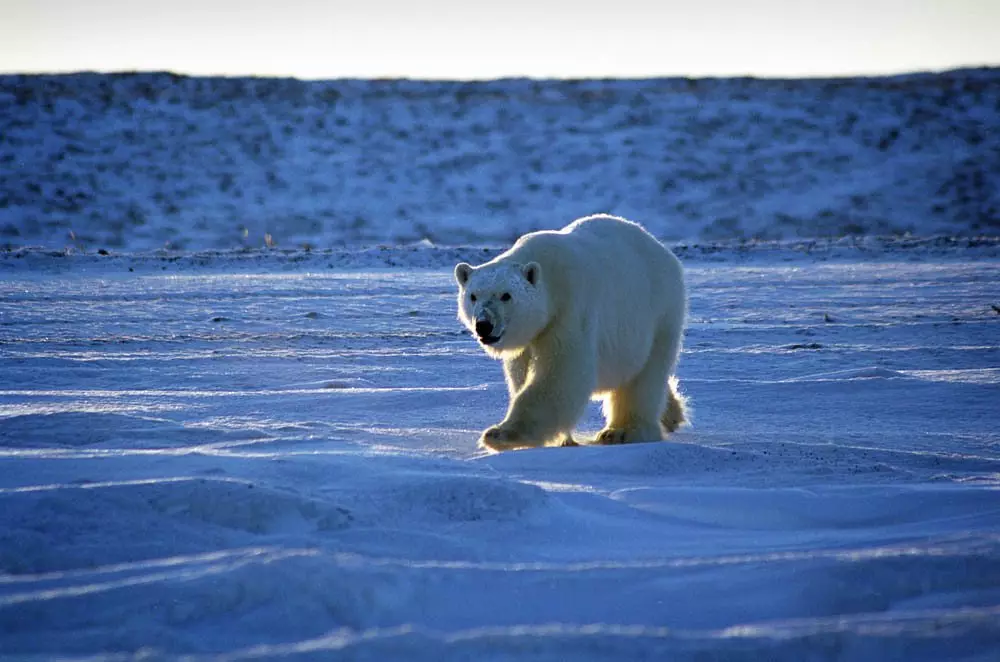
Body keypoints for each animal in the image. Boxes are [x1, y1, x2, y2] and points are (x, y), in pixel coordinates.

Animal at [456, 215, 684, 454]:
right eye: (473, 296)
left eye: (506, 295)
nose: (484, 325)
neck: (550, 276)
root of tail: (661, 248)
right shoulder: (530, 337)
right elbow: (521, 373)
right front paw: (563, 438)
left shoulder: (569, 311)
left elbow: (559, 374)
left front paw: (500, 434)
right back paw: (672, 415)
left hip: (659, 313)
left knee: (646, 377)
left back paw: (622, 432)